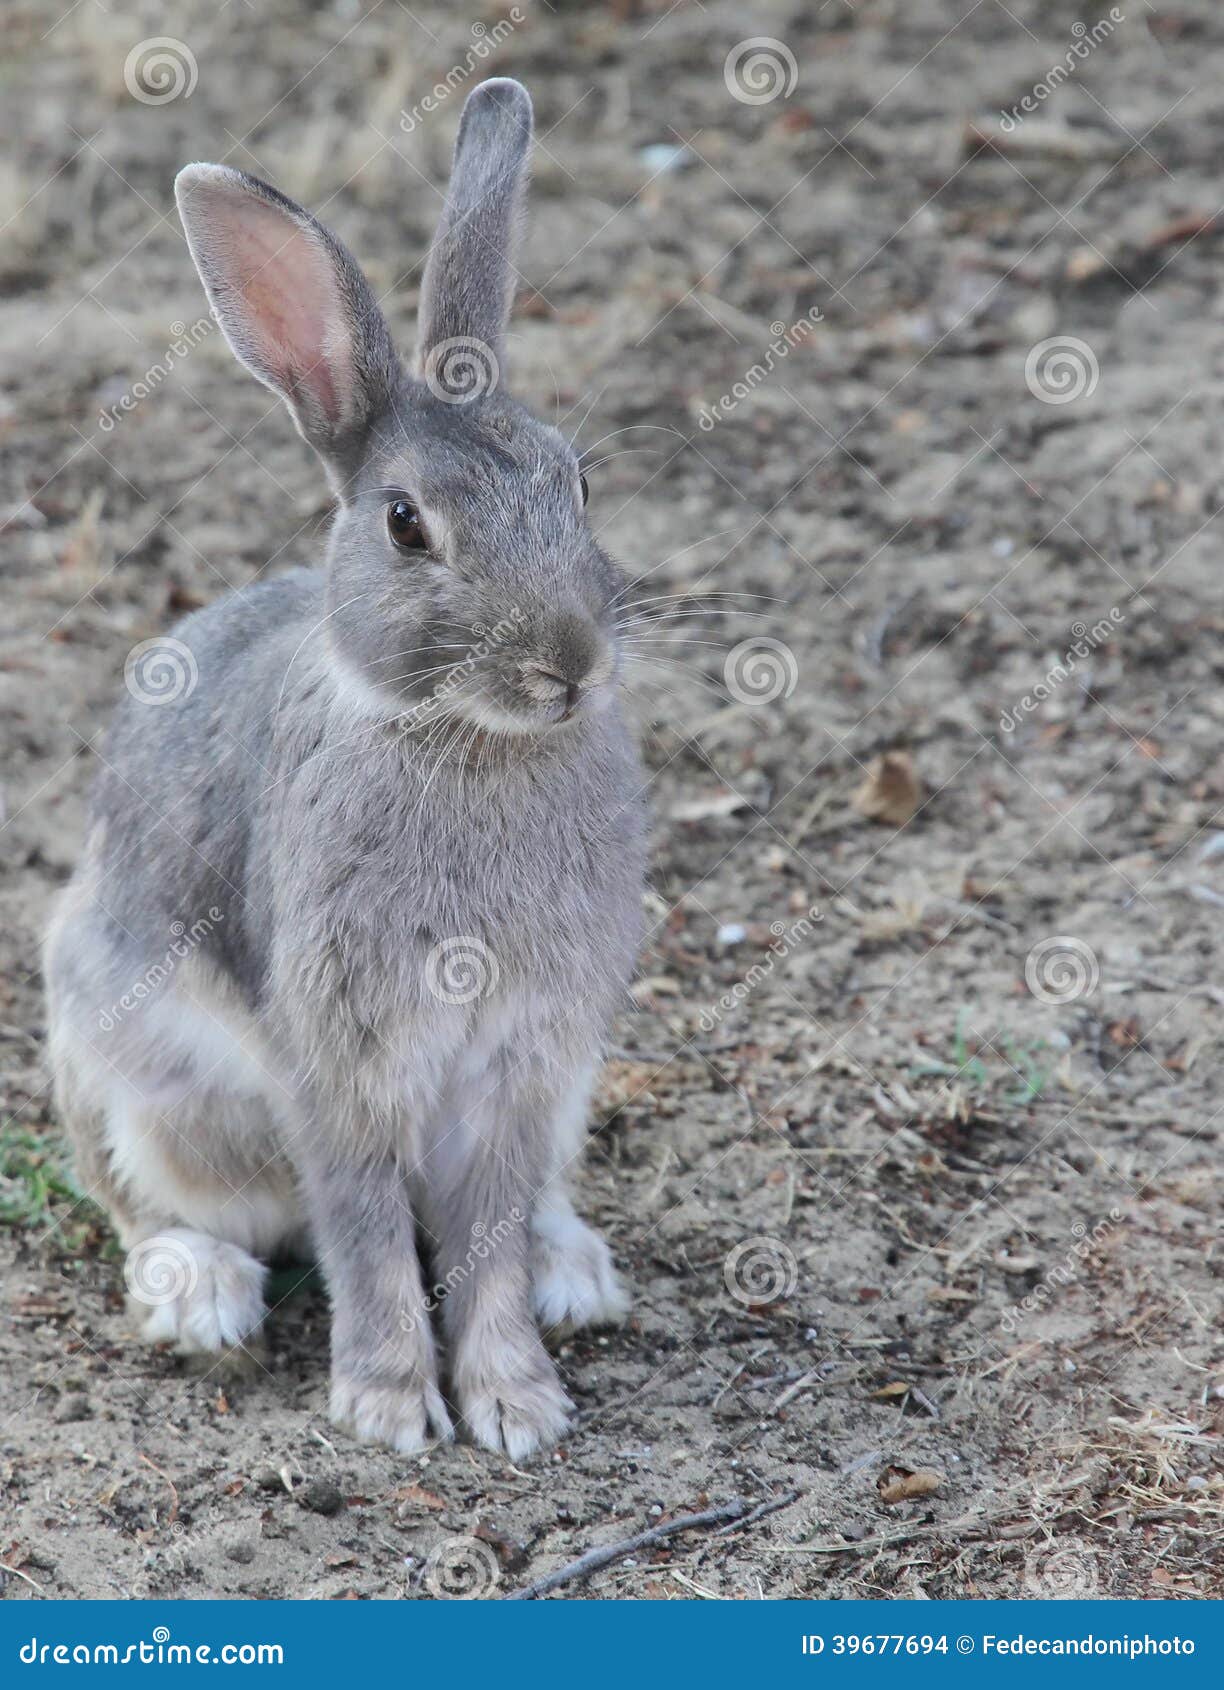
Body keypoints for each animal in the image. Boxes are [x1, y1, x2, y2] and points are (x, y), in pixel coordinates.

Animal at [43, 77, 647, 1461]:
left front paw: (517, 1404)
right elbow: (367, 1231)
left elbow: (480, 1239)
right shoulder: (337, 1059)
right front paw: (386, 1408)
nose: (568, 665)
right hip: (117, 1047)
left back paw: (574, 1272)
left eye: (578, 485)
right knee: (136, 1192)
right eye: (406, 523)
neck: (465, 737)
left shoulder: (522, 1063)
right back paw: (199, 1293)